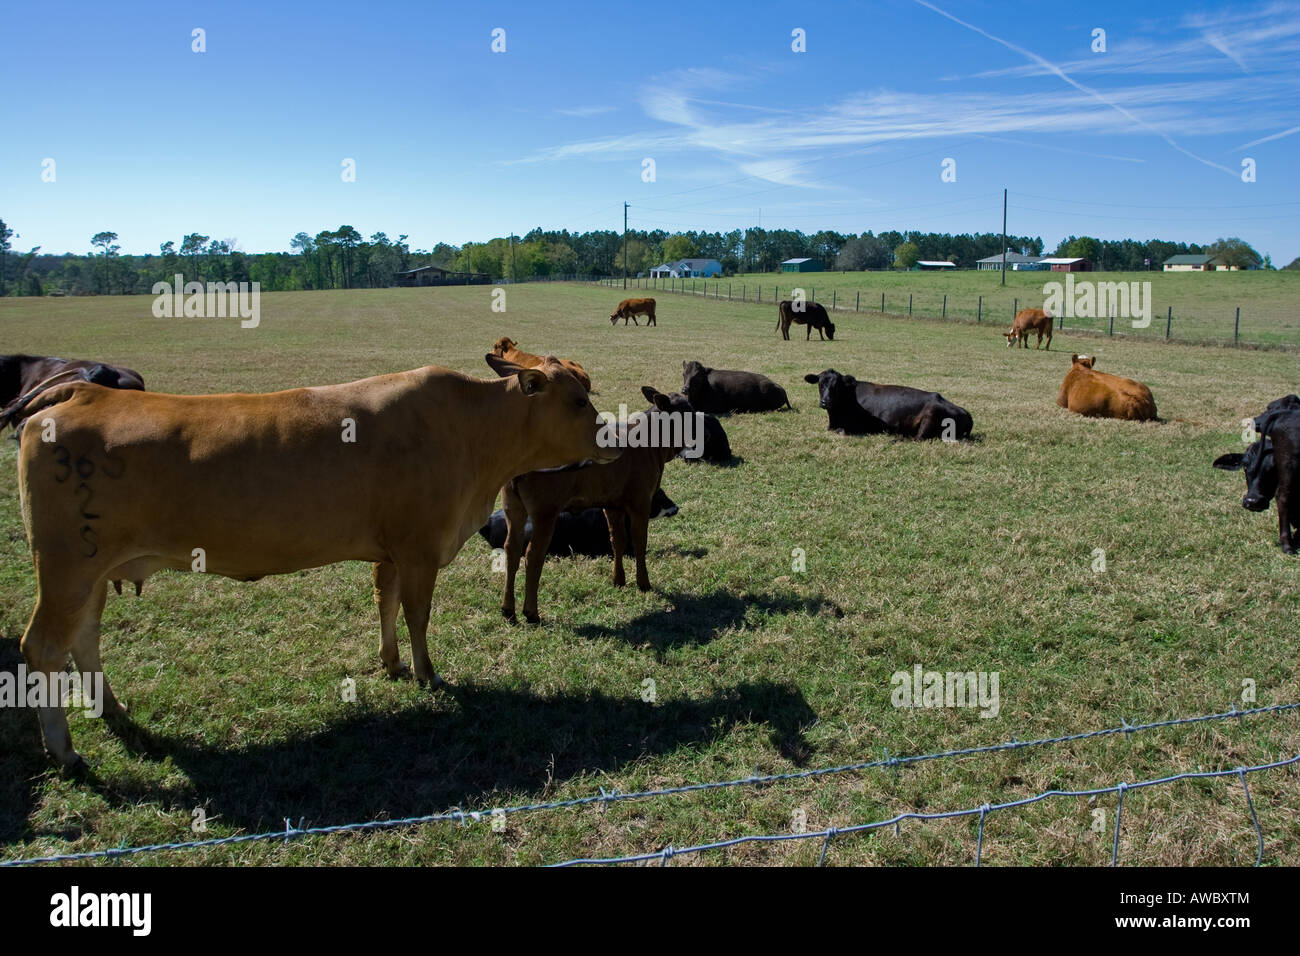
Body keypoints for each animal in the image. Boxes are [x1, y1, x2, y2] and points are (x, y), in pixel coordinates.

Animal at [16, 355, 618, 769]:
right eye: (577, 400)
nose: (612, 437)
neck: (472, 434)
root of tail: (84, 392)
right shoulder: (420, 549)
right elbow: (417, 614)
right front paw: (427, 674)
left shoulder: (389, 550)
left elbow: (385, 601)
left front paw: (392, 664)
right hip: (66, 571)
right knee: (43, 648)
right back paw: (66, 753)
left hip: (92, 574)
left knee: (83, 640)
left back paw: (113, 711)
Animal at [500, 386, 693, 623]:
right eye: (686, 410)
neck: (651, 445)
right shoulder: (640, 502)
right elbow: (639, 543)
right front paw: (643, 583)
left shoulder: (612, 504)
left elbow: (617, 541)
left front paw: (618, 580)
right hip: (545, 512)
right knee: (533, 555)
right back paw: (531, 612)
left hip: (513, 507)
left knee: (511, 550)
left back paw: (508, 610)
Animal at [803, 368, 973, 440]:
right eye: (820, 384)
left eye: (836, 385)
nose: (825, 401)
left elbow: (841, 431)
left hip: (931, 414)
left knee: (918, 438)